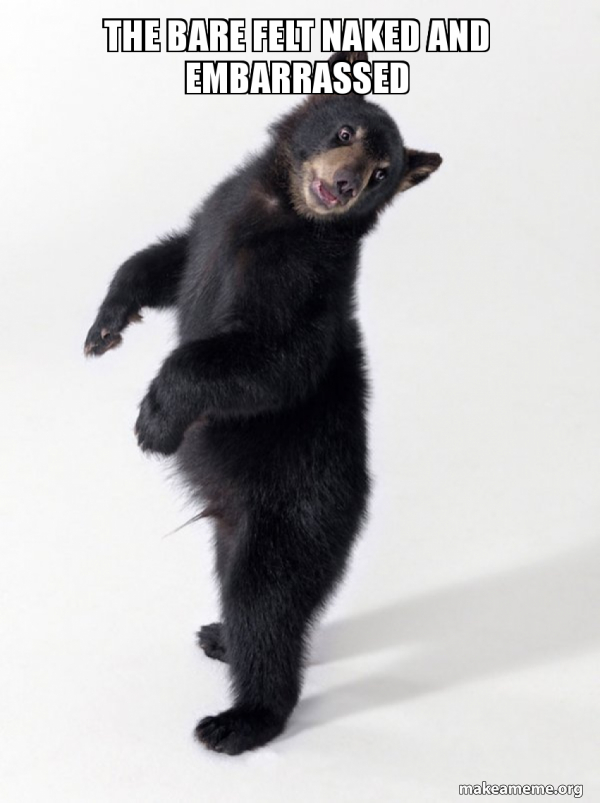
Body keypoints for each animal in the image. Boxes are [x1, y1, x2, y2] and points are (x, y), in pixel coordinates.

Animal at [84, 51, 441, 755]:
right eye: (345, 132)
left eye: (384, 173)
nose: (347, 183)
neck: (282, 211)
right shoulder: (214, 217)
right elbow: (167, 259)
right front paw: (107, 323)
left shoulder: (299, 284)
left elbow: (269, 362)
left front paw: (154, 422)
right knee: (268, 603)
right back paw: (221, 636)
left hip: (290, 518)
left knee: (267, 605)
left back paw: (241, 718)